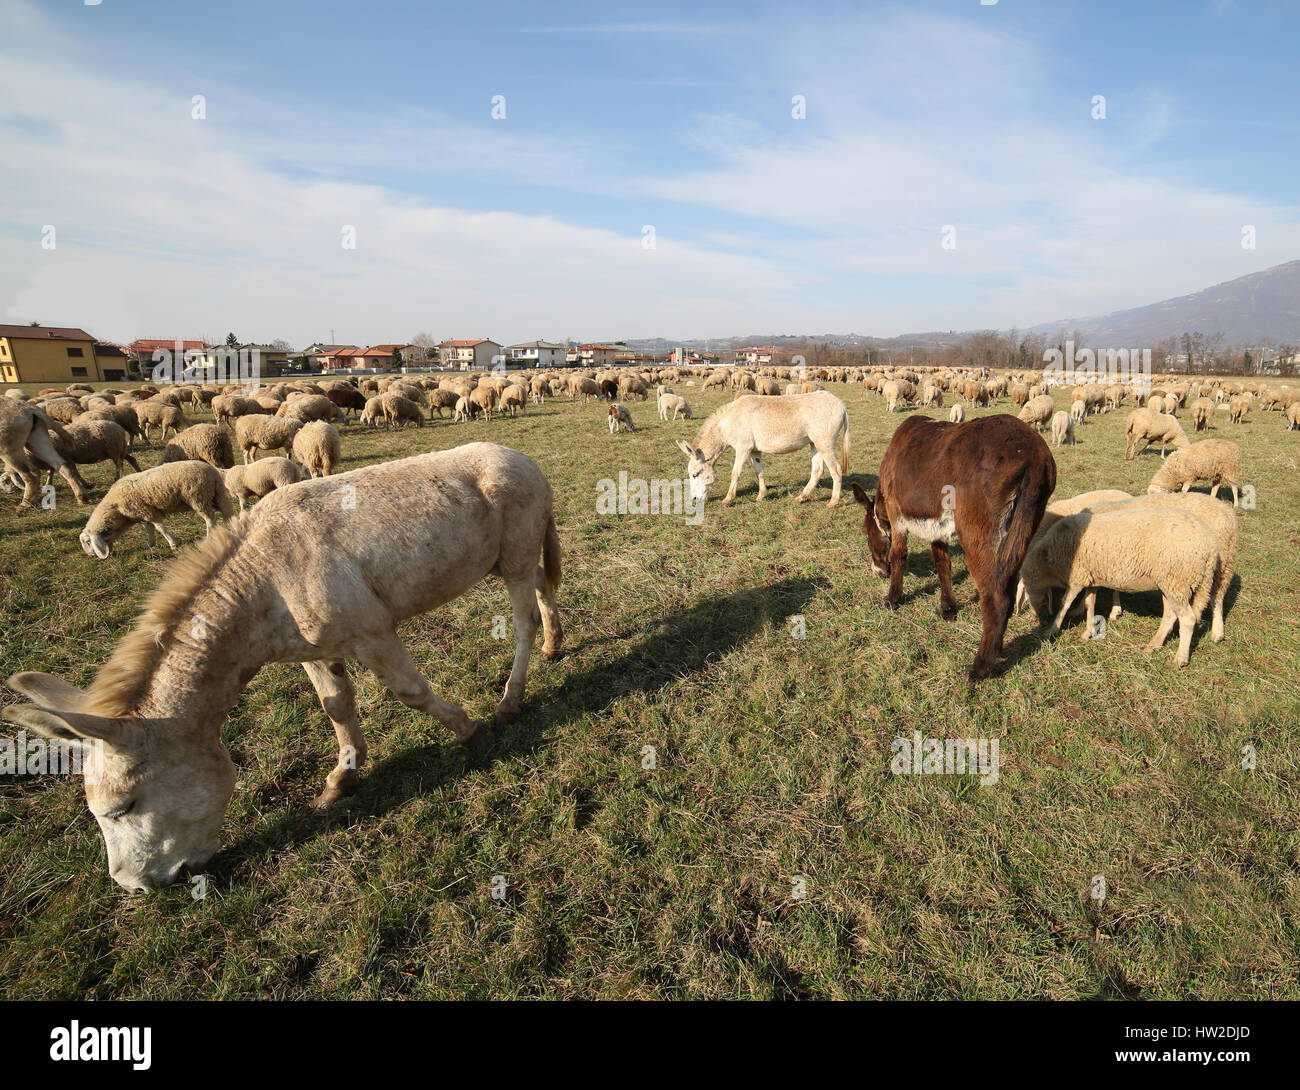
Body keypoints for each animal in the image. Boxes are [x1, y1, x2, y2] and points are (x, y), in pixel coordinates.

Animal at [79, 461, 235, 556]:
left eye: (88, 542)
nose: (91, 555)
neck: (116, 509)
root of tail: (212, 472)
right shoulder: (145, 512)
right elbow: (149, 528)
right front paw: (150, 544)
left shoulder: (148, 511)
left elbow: (160, 528)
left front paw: (173, 544)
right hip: (216, 495)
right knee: (227, 513)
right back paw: (233, 528)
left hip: (198, 498)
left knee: (210, 519)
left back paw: (209, 537)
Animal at [1021, 505, 1218, 667]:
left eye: (1028, 588)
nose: (1038, 617)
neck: (1051, 561)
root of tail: (1210, 546)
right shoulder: (1091, 577)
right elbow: (1089, 603)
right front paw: (1088, 632)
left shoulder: (1077, 577)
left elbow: (1064, 604)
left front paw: (1051, 630)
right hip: (1171, 583)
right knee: (1170, 615)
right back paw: (1153, 645)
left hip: (1177, 580)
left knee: (1187, 619)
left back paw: (1180, 658)